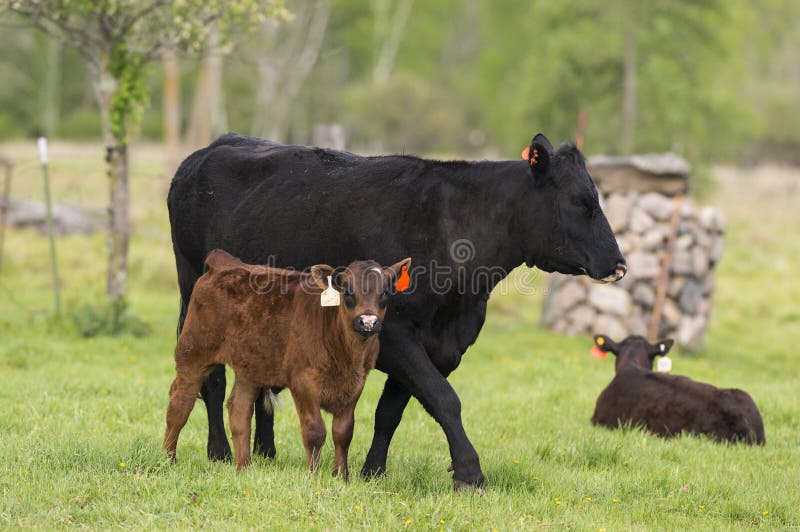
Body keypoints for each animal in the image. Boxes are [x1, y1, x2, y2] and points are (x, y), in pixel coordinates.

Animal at [164, 250, 412, 477]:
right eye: (348, 290)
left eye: (385, 293)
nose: (368, 322)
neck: (345, 355)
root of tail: (223, 263)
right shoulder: (302, 380)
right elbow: (315, 431)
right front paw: (312, 475)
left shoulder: (357, 382)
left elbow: (343, 432)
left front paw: (341, 477)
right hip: (193, 352)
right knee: (180, 404)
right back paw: (169, 460)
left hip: (249, 367)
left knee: (239, 411)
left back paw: (245, 469)